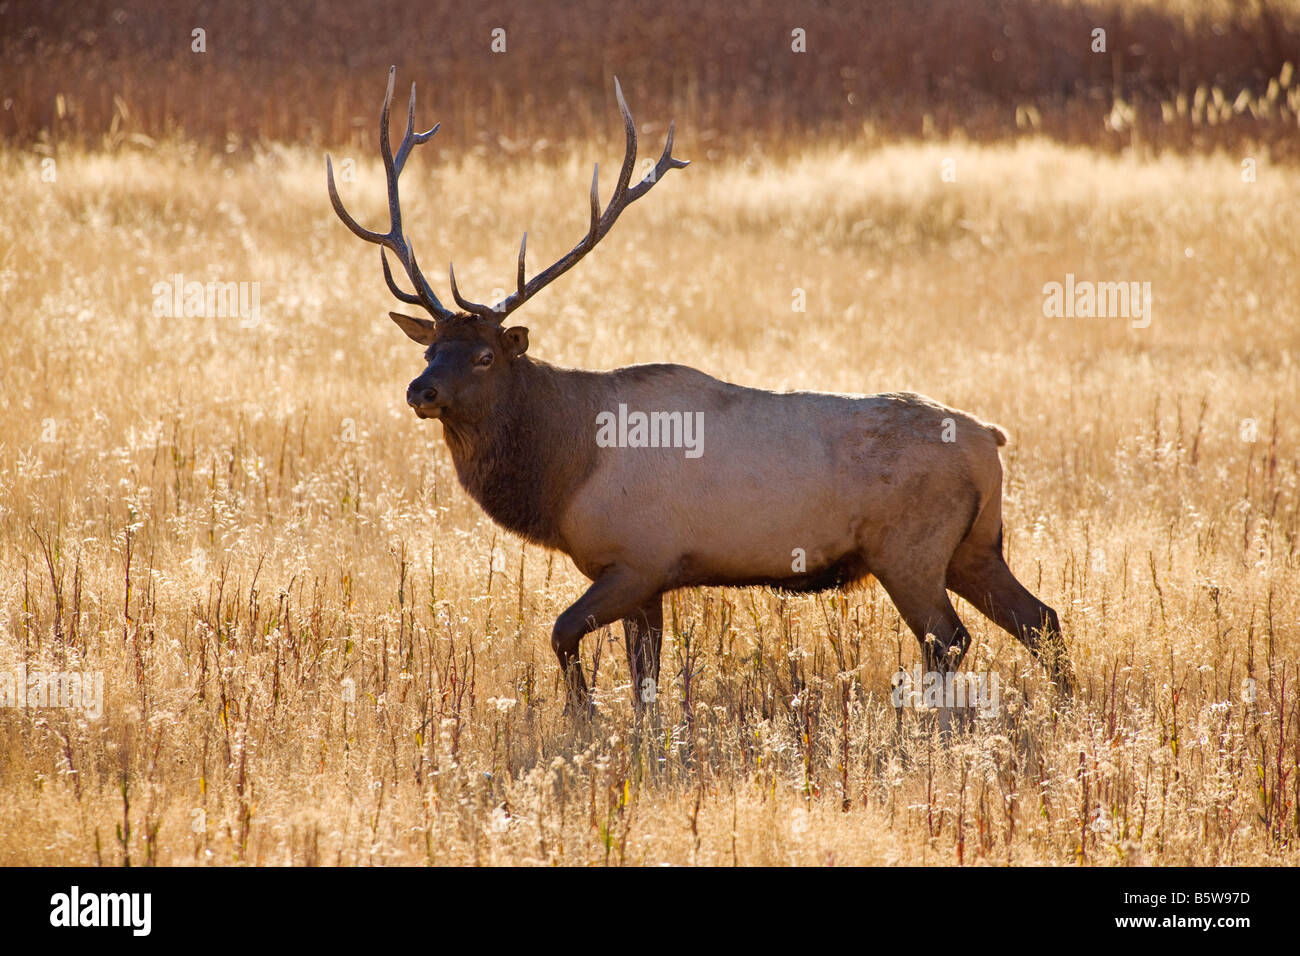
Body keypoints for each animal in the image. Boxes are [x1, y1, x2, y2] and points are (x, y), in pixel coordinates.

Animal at [326, 68, 1074, 716]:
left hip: (909, 550)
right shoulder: (644, 577)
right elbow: (644, 680)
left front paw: (584, 718)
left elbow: (563, 634)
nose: (420, 390)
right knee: (1042, 619)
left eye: (483, 356)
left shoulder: (639, 557)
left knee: (949, 639)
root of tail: (990, 440)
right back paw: (1070, 713)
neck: (564, 471)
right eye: (429, 348)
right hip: (975, 546)